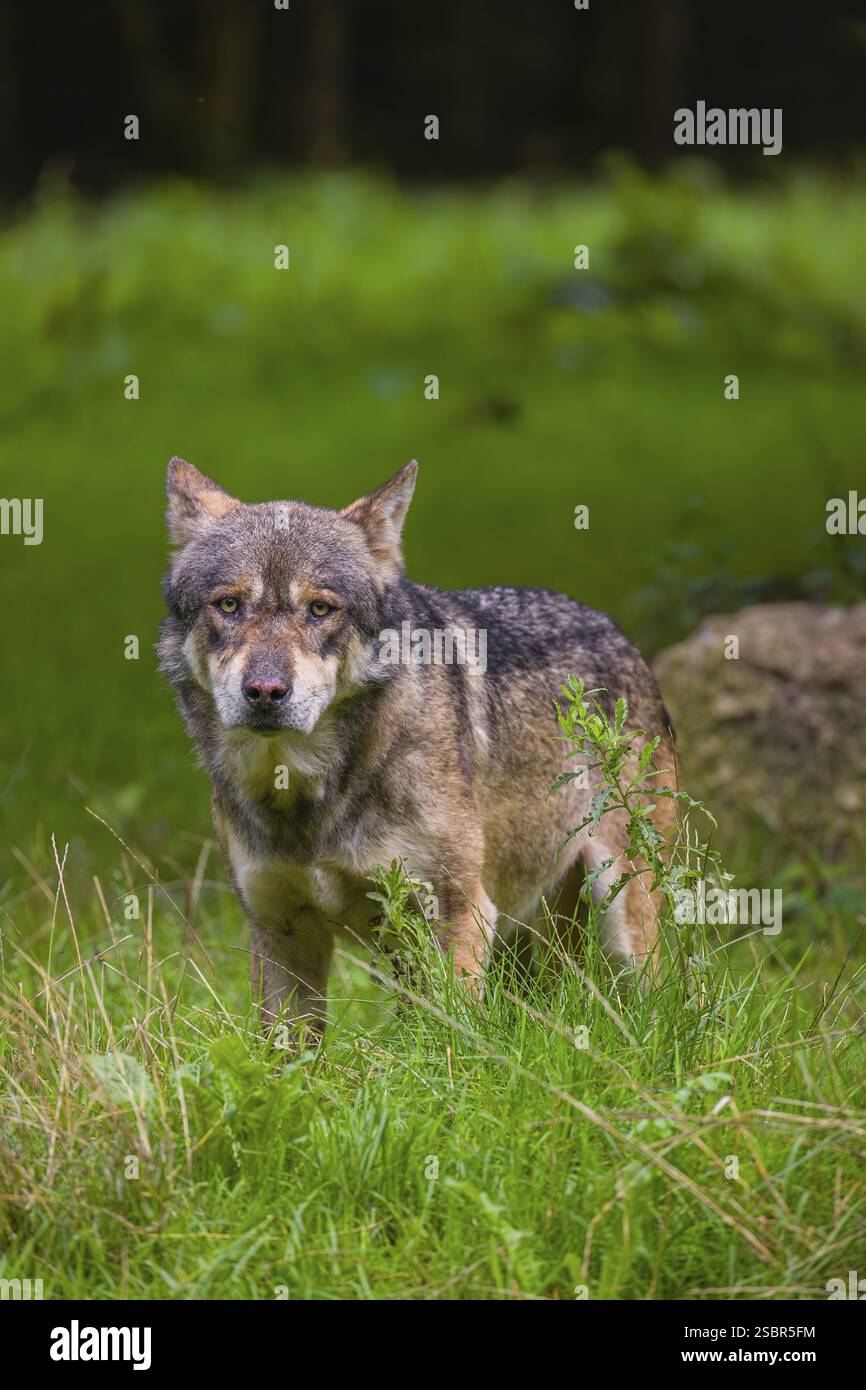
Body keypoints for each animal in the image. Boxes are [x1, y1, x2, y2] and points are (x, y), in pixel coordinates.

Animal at [159, 457, 676, 1035]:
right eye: (228, 604)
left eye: (320, 609)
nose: (266, 692)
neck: (308, 798)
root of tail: (614, 630)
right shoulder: (278, 930)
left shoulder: (455, 914)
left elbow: (446, 1042)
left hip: (620, 917)